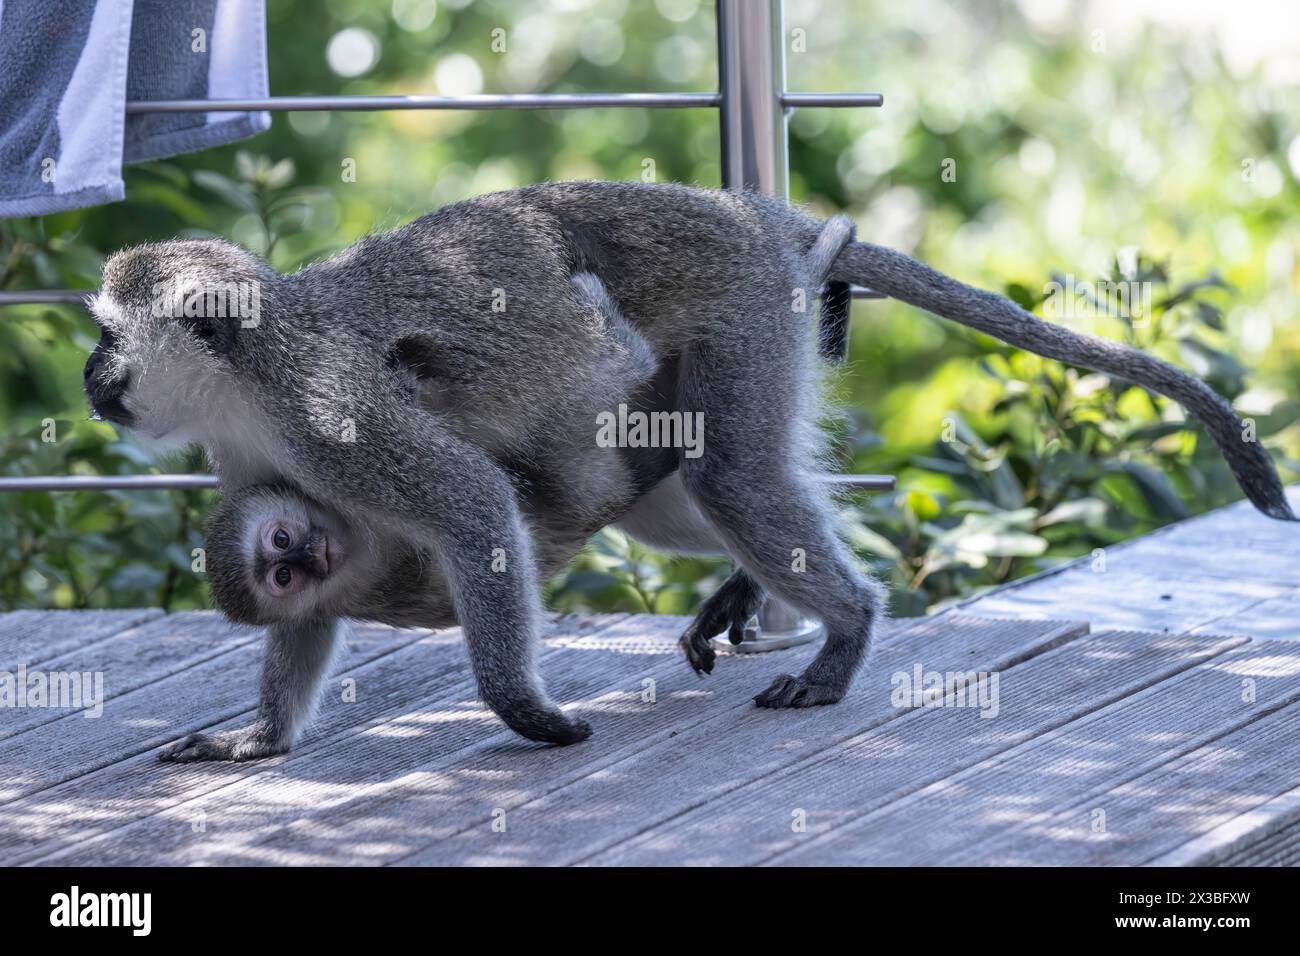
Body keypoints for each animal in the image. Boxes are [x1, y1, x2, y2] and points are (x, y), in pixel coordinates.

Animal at [83, 181, 1293, 763]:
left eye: (105, 334)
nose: (92, 374)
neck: (245, 385)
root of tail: (747, 213)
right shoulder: (268, 462)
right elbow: (315, 610)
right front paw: (261, 736)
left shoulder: (329, 413)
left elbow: (470, 505)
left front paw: (523, 709)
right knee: (691, 483)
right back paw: (758, 588)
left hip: (744, 309)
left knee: (734, 475)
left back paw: (845, 629)